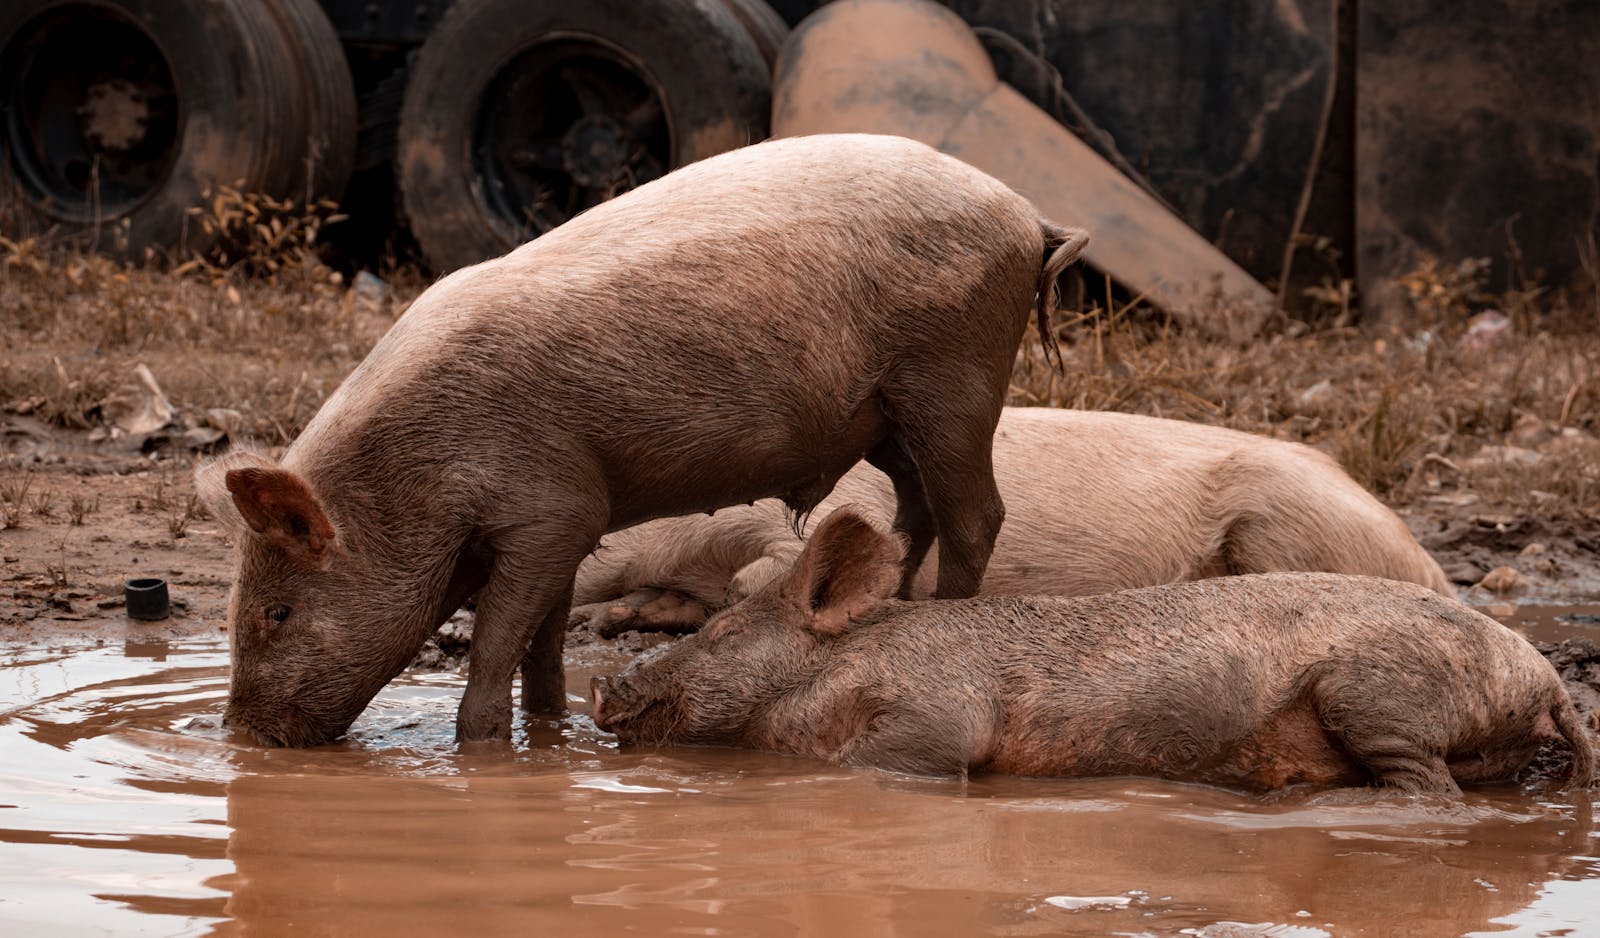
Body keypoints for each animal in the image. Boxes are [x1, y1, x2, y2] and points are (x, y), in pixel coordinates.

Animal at [197, 133, 1089, 746]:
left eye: (277, 611)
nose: (238, 735)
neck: (414, 485)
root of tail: (1022, 214)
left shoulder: (547, 506)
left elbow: (496, 641)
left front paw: (478, 746)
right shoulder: (569, 514)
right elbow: (544, 639)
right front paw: (549, 733)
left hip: (957, 376)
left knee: (977, 513)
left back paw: (944, 613)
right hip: (887, 416)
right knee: (914, 512)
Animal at [592, 511, 1593, 794]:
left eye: (721, 632)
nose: (606, 684)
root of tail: (1546, 673)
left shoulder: (940, 707)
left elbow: (921, 753)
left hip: (1380, 688)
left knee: (1429, 792)